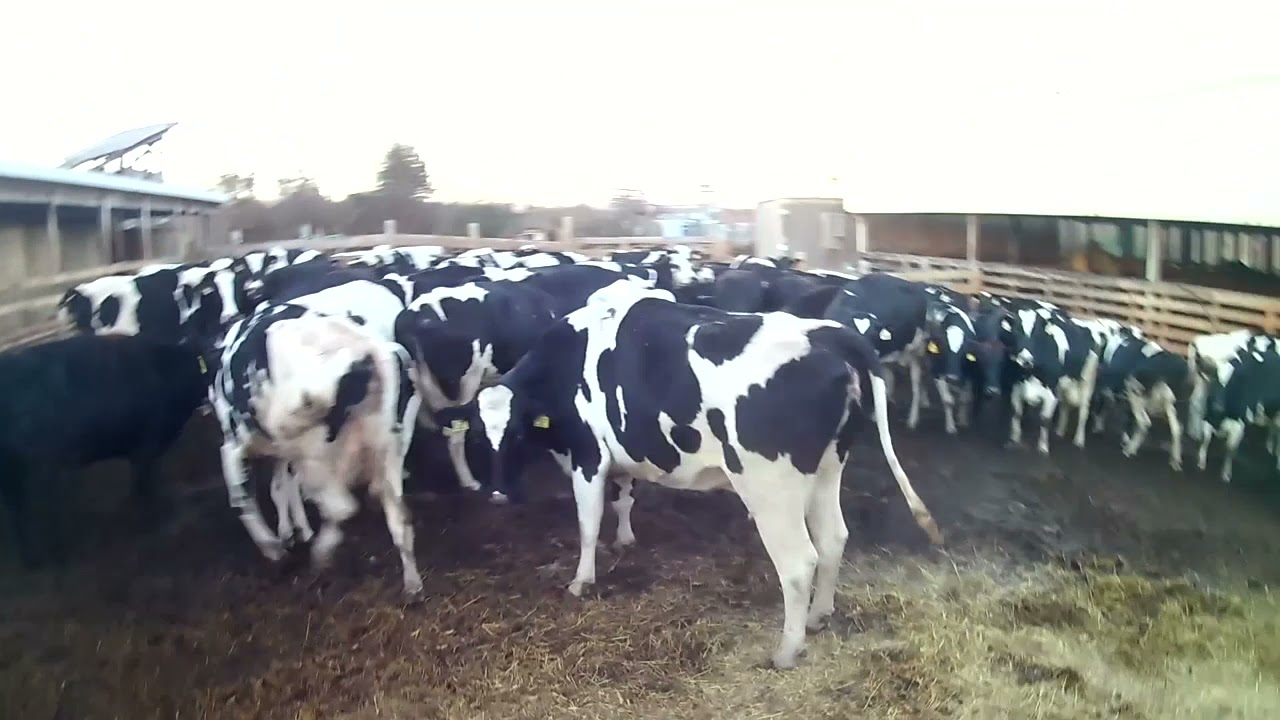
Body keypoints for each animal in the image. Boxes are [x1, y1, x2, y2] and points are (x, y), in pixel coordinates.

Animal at [0, 335, 210, 567]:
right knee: (41, 512)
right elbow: (144, 486)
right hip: (42, 469)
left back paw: (32, 560)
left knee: (18, 514)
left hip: (13, 473)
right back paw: (57, 553)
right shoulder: (146, 447)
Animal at [209, 305, 424, 598]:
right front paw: (291, 534)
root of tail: (365, 349)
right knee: (397, 518)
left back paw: (320, 554)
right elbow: (278, 487)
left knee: (342, 507)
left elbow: (242, 498)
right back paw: (412, 585)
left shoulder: (233, 444)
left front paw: (277, 550)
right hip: (385, 448)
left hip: (316, 454)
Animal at [464, 286, 942, 669]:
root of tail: (828, 334)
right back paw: (818, 617)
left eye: (516, 433)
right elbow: (624, 497)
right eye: (479, 437)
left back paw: (787, 650)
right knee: (833, 539)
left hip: (772, 489)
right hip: (827, 470)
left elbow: (587, 523)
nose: (498, 493)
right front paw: (624, 538)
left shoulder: (588, 455)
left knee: (798, 562)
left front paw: (582, 580)